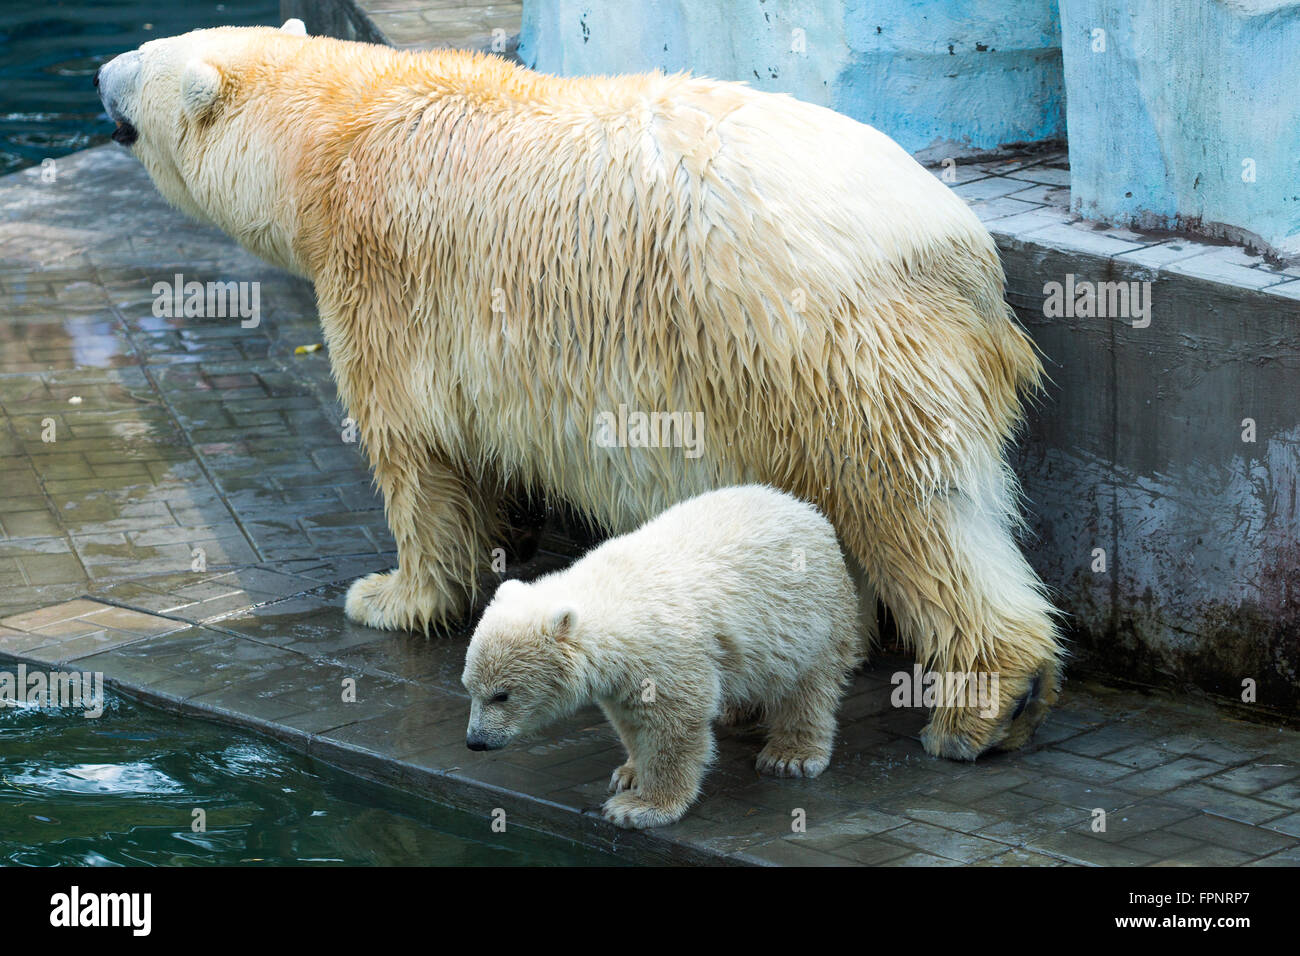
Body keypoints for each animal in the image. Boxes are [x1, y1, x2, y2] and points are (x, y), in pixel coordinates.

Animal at [95, 22, 1061, 760]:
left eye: (142, 62)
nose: (100, 72)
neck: (337, 131)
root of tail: (950, 244)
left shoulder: (387, 282)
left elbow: (416, 451)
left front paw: (389, 596)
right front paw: (512, 535)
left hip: (820, 344)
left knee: (910, 508)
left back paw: (985, 706)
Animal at [461, 485, 861, 829]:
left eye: (502, 695)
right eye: (469, 689)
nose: (475, 742)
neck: (612, 599)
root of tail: (802, 506)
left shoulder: (666, 654)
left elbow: (674, 725)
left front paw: (639, 807)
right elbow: (629, 719)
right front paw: (629, 773)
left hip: (806, 616)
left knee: (808, 685)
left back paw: (790, 755)